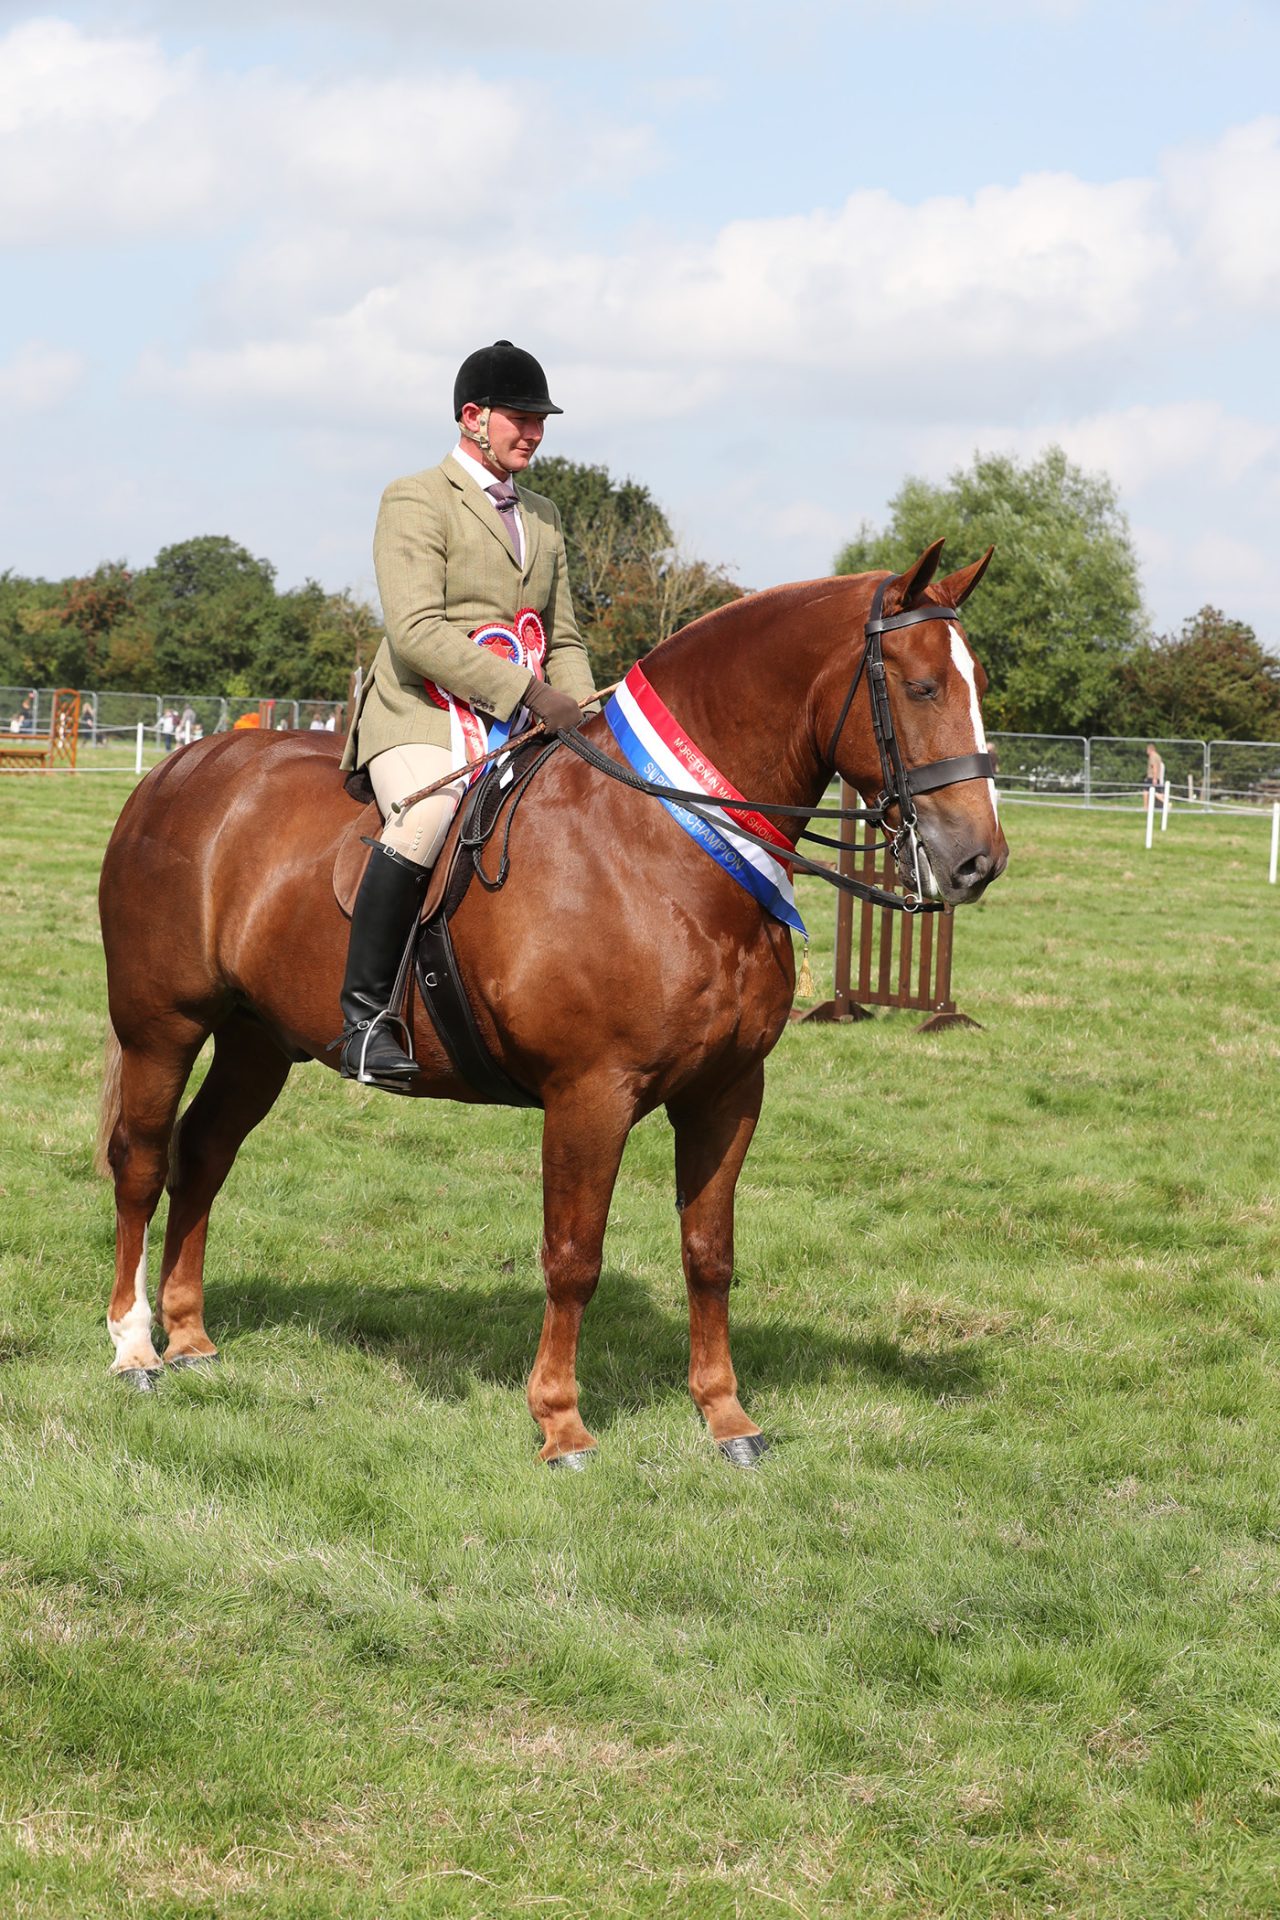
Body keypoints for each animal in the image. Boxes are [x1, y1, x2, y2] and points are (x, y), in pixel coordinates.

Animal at [96, 539, 1008, 1466]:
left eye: (978, 684)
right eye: (921, 687)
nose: (977, 861)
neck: (663, 842)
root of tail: (178, 769)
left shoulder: (727, 1092)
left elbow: (709, 1253)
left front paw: (726, 1417)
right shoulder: (590, 1094)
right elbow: (574, 1257)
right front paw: (561, 1423)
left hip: (257, 1042)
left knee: (204, 1153)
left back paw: (191, 1338)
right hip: (162, 1027)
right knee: (142, 1162)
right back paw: (134, 1347)